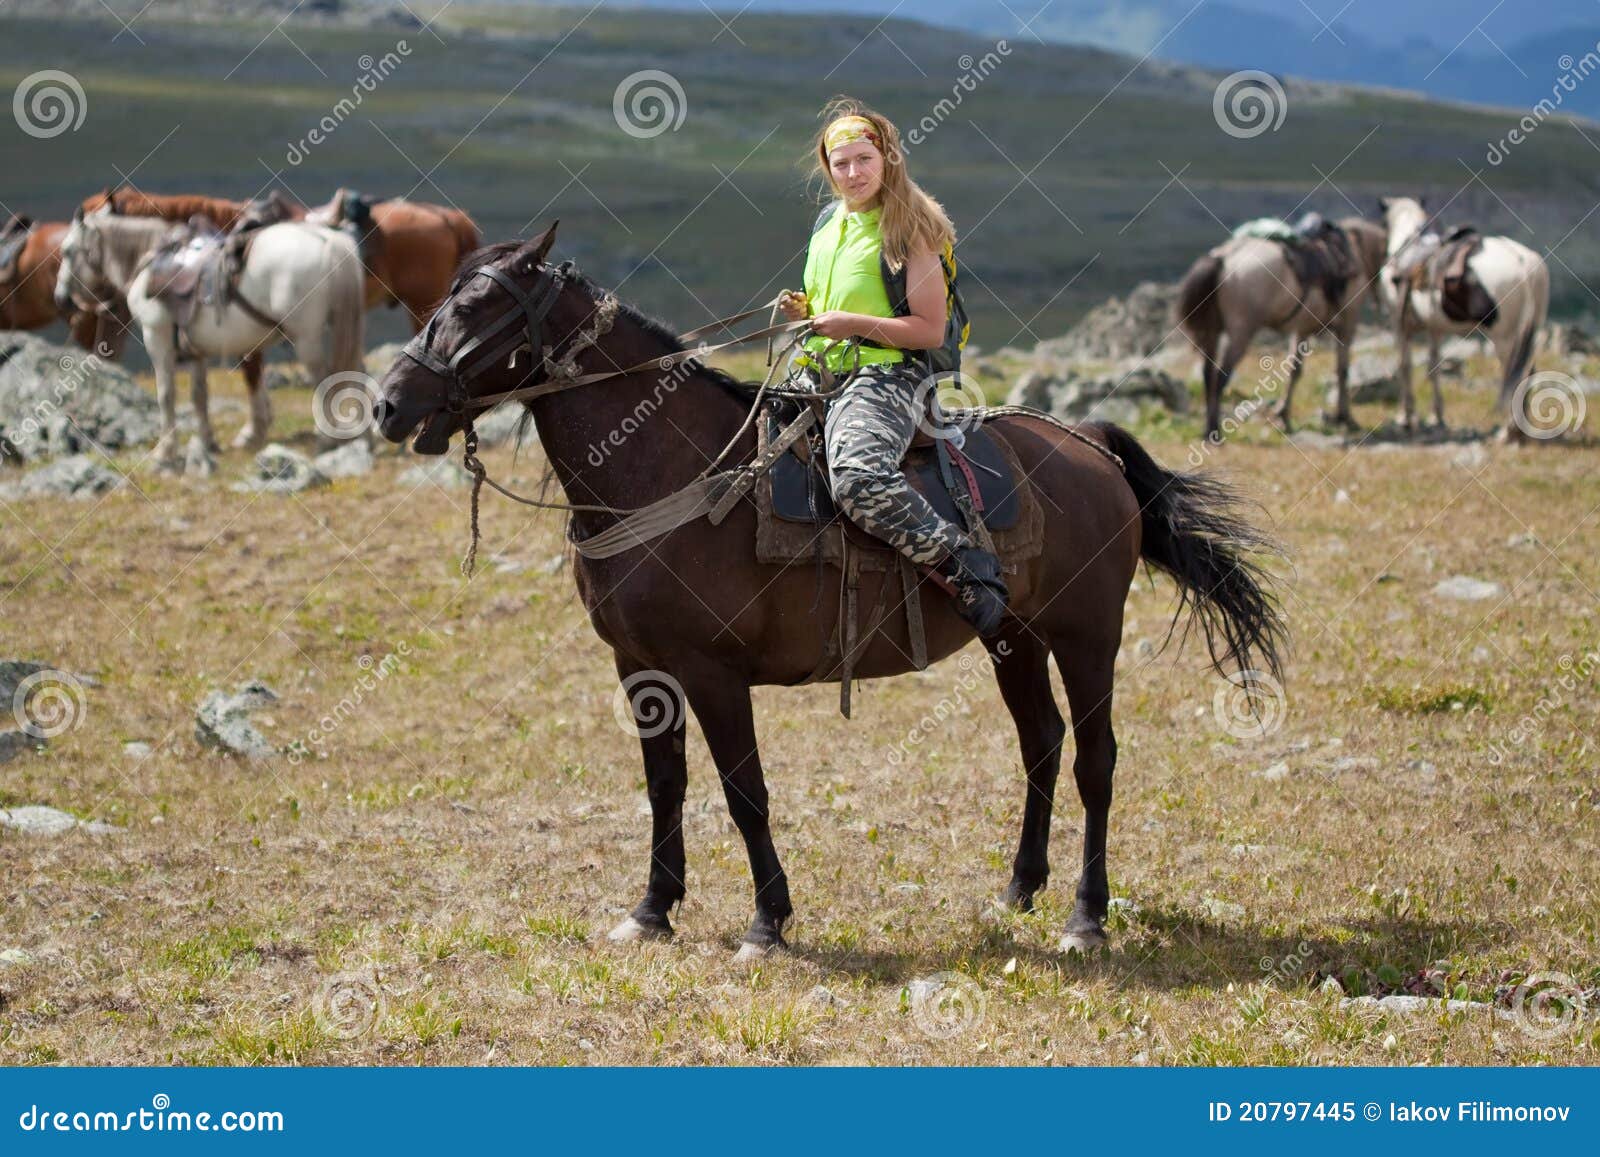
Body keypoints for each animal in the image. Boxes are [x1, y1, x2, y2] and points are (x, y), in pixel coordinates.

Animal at [55, 204, 365, 471]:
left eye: (68, 251)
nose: (61, 298)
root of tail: (328, 241)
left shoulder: (158, 338)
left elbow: (166, 395)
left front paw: (165, 454)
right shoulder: (196, 352)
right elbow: (199, 396)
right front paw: (207, 443)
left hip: (306, 339)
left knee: (327, 381)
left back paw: (327, 439)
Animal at [371, 223, 1288, 960]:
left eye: (477, 305)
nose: (385, 405)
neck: (669, 468)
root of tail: (1085, 441)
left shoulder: (713, 672)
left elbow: (745, 793)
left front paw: (767, 922)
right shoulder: (640, 666)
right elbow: (666, 785)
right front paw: (652, 909)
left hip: (1088, 633)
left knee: (1097, 758)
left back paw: (1085, 915)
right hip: (1014, 636)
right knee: (1043, 743)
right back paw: (1020, 888)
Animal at [1176, 217, 1389, 439]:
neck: (1356, 251)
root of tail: (1224, 257)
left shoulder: (1302, 329)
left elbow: (1295, 370)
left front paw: (1283, 416)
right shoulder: (1347, 325)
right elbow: (1342, 370)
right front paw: (1345, 417)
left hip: (1213, 331)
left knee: (1208, 374)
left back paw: (1208, 428)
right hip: (1241, 332)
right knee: (1220, 377)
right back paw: (1214, 430)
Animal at [1376, 196, 1549, 439]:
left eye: (1382, 223)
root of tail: (1525, 261)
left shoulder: (1399, 324)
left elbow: (1404, 365)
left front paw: (1406, 417)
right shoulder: (1434, 328)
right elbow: (1433, 365)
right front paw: (1436, 415)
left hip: (1505, 339)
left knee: (1513, 374)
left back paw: (1507, 431)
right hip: (1528, 336)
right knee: (1527, 370)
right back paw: (1519, 430)